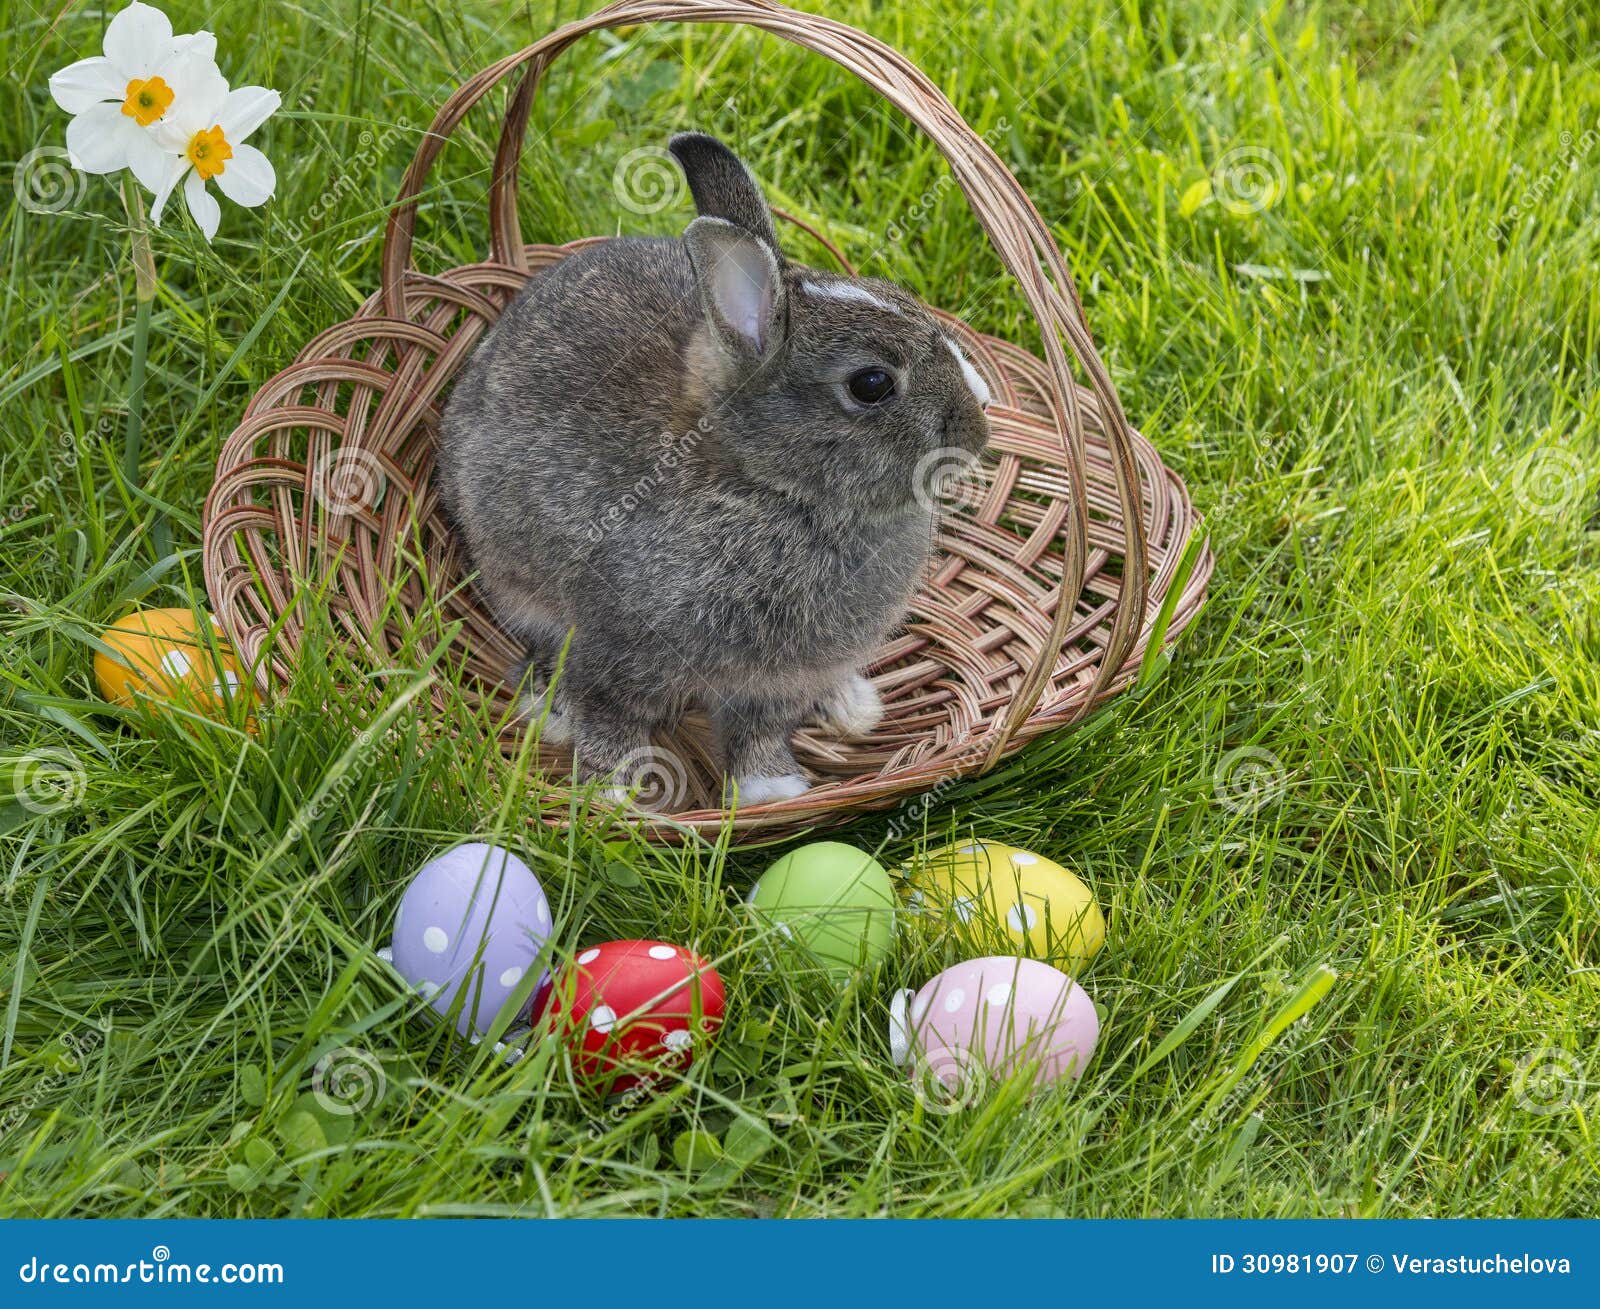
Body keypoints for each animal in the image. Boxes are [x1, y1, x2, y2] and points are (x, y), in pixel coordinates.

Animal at [438, 132, 992, 805]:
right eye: (872, 384)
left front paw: (772, 789)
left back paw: (852, 703)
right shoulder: (617, 649)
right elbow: (610, 712)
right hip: (508, 579)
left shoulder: (774, 686)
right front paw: (614, 791)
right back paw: (552, 708)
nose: (981, 423)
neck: (766, 484)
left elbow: (758, 733)